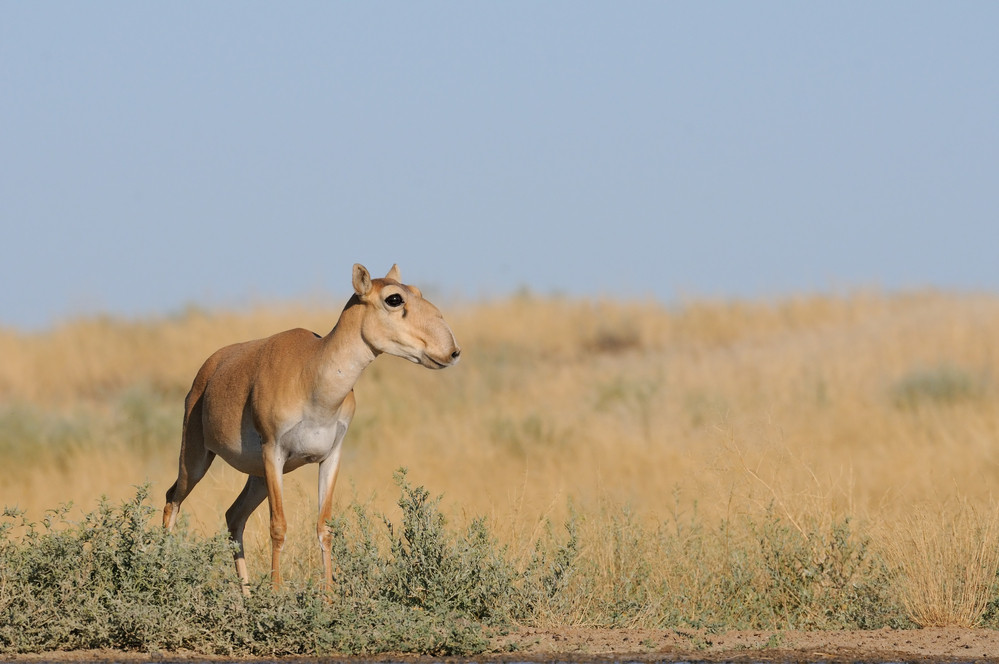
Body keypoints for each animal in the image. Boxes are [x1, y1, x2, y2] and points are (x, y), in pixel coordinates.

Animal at [162, 264, 461, 591]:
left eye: (417, 291)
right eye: (394, 298)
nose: (451, 350)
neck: (312, 374)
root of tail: (209, 369)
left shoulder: (330, 457)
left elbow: (325, 527)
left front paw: (329, 597)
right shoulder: (274, 452)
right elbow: (278, 526)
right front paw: (277, 593)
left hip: (257, 478)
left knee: (233, 516)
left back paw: (247, 596)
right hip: (196, 460)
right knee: (172, 499)